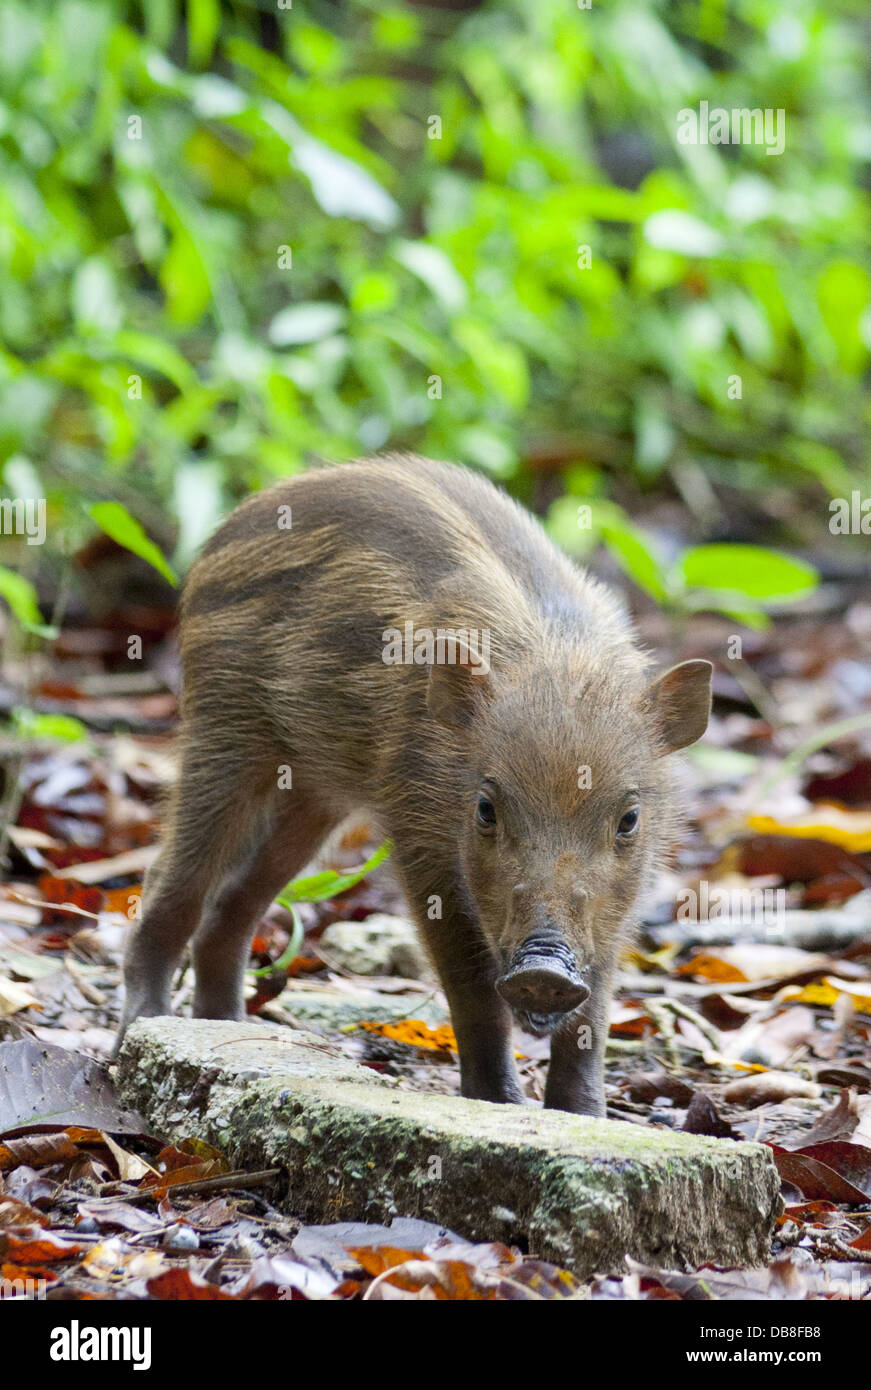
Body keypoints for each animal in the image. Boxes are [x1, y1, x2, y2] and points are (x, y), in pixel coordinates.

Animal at [117, 454, 711, 1114]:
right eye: (485, 809)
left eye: (629, 819)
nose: (544, 971)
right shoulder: (421, 841)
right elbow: (470, 988)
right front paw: (501, 1106)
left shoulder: (622, 899)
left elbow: (596, 1008)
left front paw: (582, 1117)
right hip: (221, 728)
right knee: (169, 881)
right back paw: (138, 1033)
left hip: (311, 792)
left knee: (234, 902)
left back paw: (224, 1030)